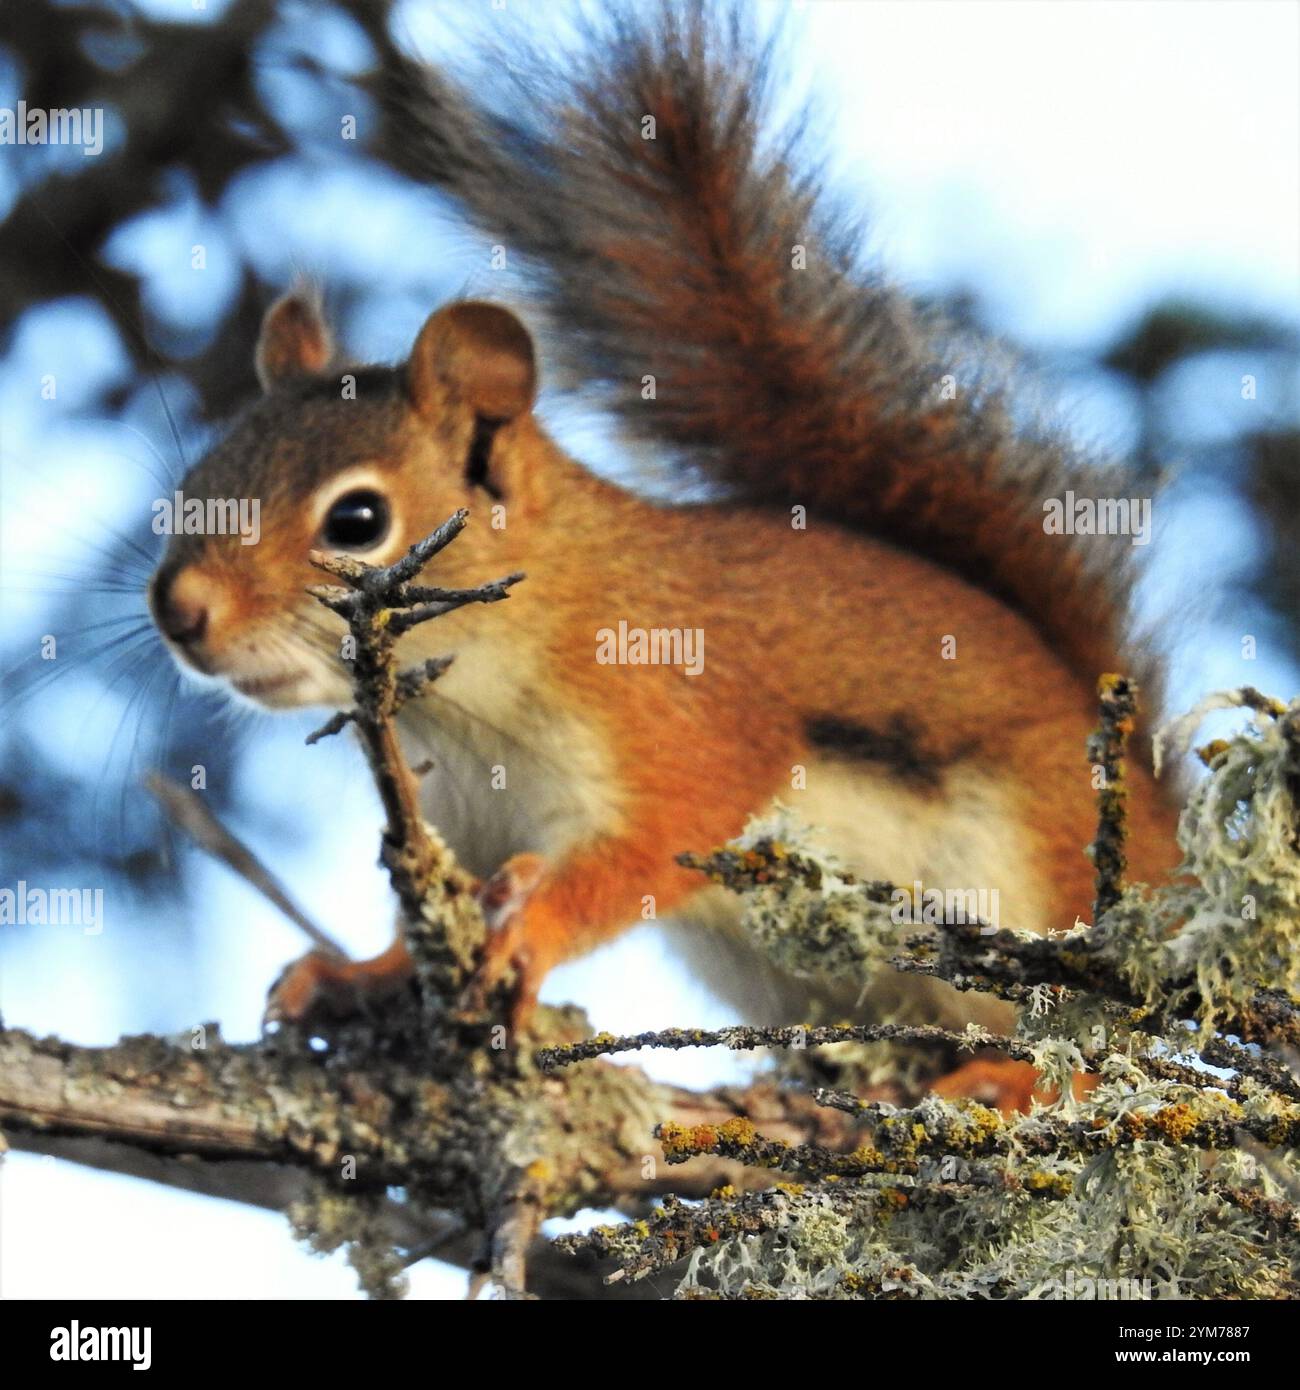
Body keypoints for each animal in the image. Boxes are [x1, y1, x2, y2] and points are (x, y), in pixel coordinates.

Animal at [147, 5, 1181, 1071]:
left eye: (357, 520)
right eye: (196, 485)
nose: (179, 612)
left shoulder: (677, 731)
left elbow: (647, 850)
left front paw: (531, 933)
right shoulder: (468, 818)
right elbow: (423, 919)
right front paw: (354, 975)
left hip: (1034, 887)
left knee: (1077, 1047)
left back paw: (1001, 1085)